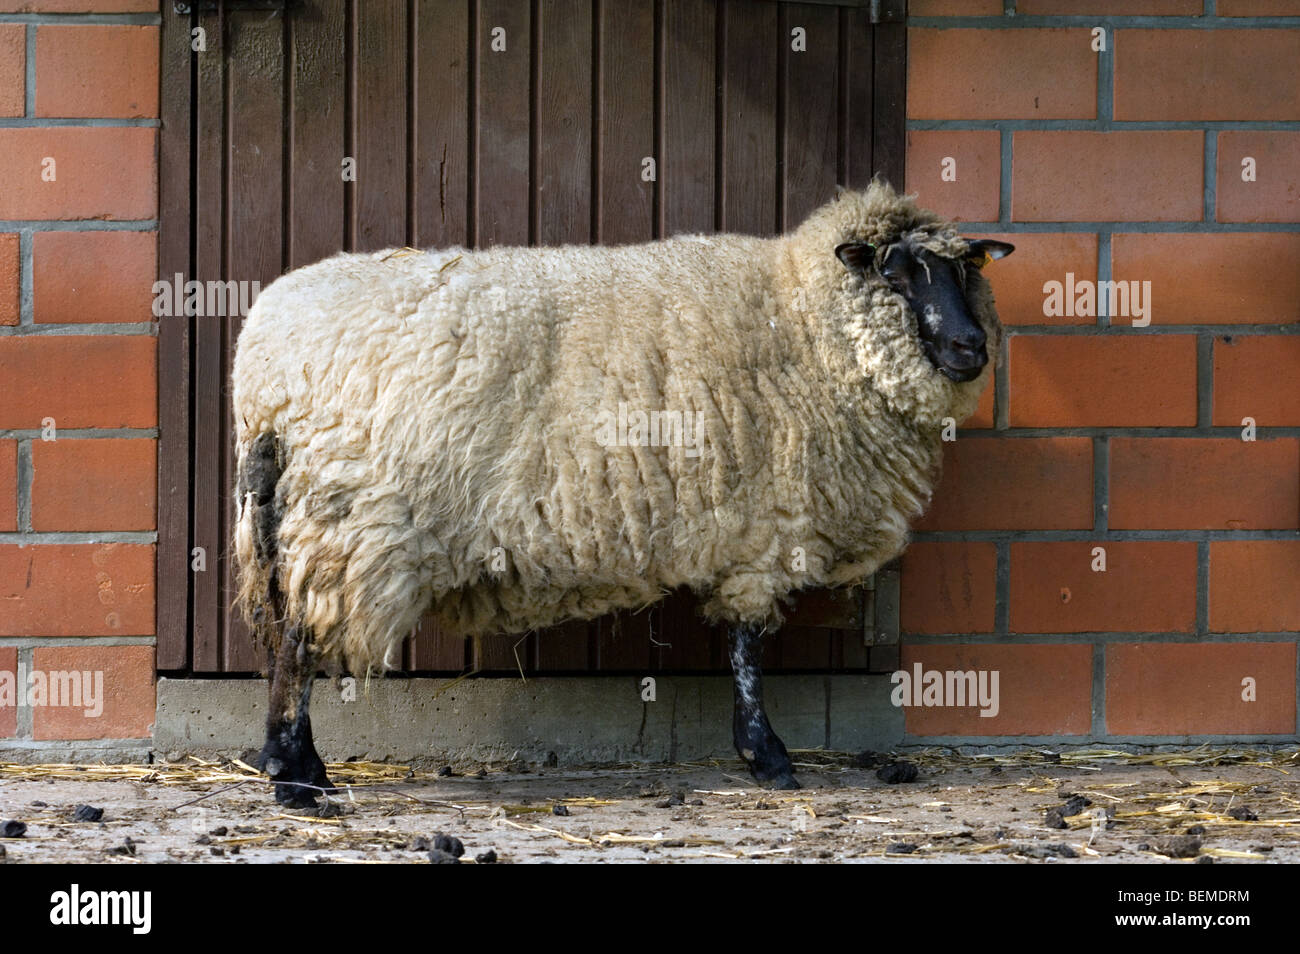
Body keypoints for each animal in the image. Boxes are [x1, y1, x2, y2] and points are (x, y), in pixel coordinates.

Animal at [232, 180, 1013, 804]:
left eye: (964, 270)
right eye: (896, 273)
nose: (971, 347)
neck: (803, 322)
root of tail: (263, 367)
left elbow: (742, 647)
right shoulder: (765, 530)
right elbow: (748, 649)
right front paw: (767, 756)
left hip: (291, 516)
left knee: (282, 632)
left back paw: (289, 764)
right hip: (344, 522)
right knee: (300, 640)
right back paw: (296, 778)